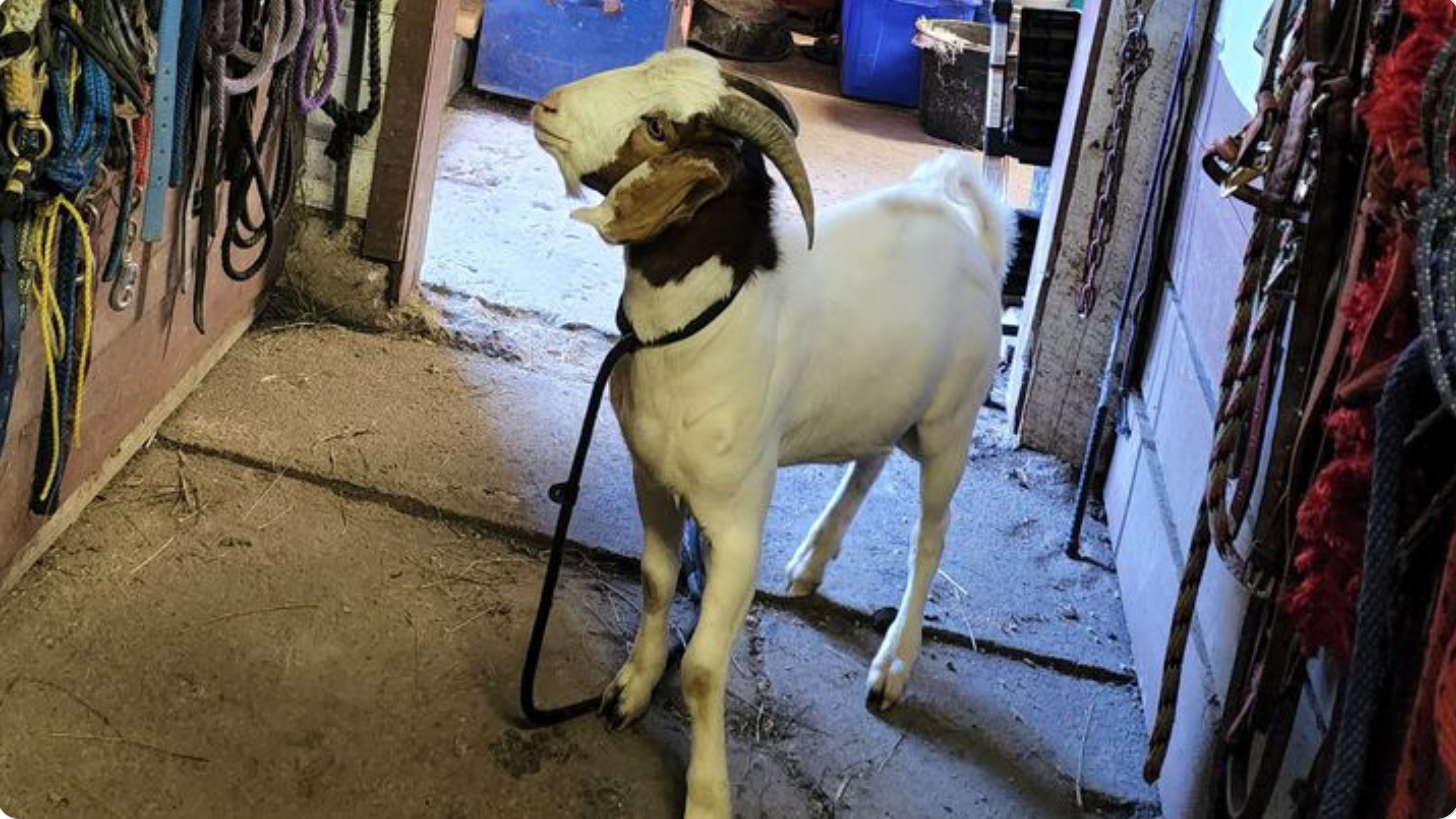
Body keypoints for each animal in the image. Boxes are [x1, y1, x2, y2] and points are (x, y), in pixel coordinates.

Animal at [532, 48, 1009, 819]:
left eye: (660, 128)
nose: (545, 105)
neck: (712, 322)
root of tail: (970, 230)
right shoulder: (651, 480)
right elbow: (657, 585)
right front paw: (629, 689)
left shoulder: (736, 523)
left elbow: (702, 668)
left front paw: (707, 795)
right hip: (879, 404)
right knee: (870, 459)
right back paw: (812, 561)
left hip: (950, 424)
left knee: (930, 537)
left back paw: (893, 665)